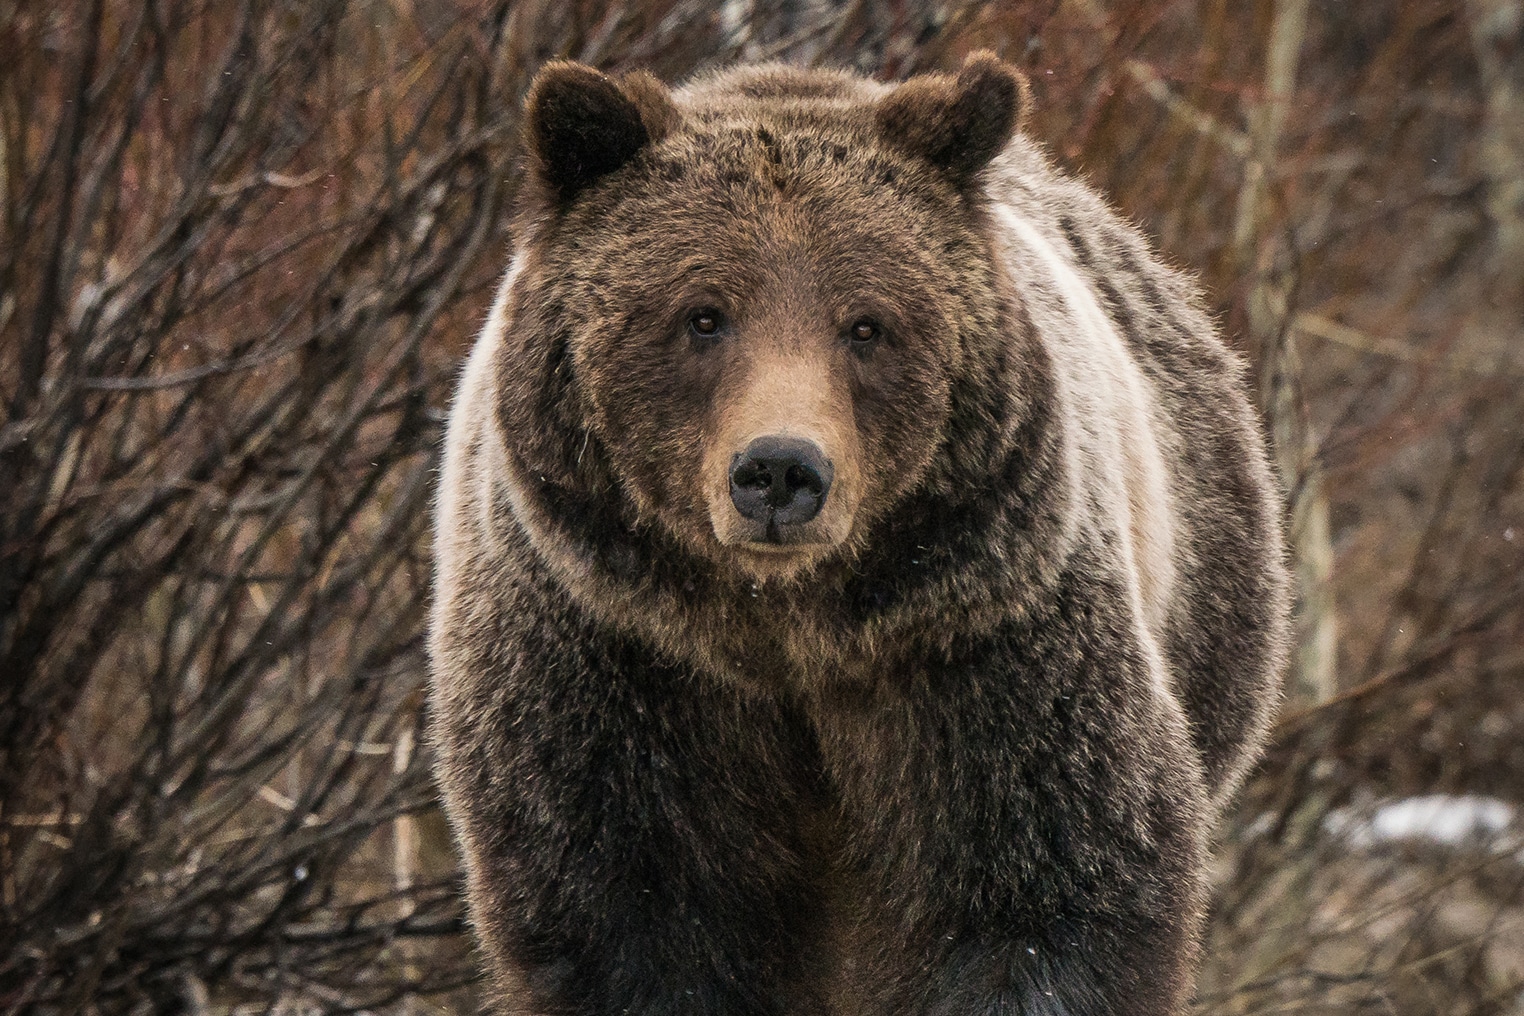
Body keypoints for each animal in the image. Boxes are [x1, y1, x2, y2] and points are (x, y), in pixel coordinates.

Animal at [429, 52, 1290, 1016]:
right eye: (702, 313)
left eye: (867, 324)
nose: (780, 470)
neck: (786, 632)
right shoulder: (612, 660)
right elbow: (631, 916)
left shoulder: (977, 648)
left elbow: (1049, 889)